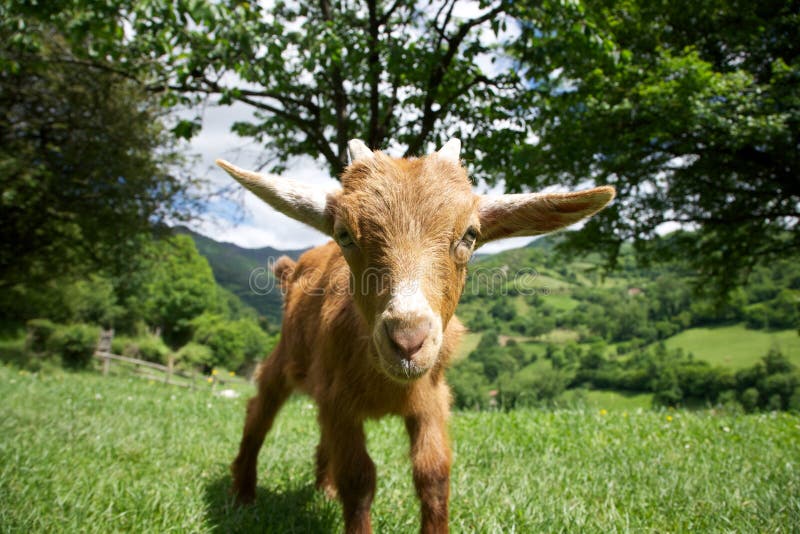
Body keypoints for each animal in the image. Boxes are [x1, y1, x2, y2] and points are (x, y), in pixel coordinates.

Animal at [217, 139, 614, 533]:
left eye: (469, 235)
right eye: (345, 234)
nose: (408, 339)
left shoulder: (430, 398)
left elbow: (433, 472)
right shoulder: (340, 400)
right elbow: (359, 479)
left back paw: (324, 489)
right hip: (286, 356)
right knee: (260, 412)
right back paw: (243, 495)